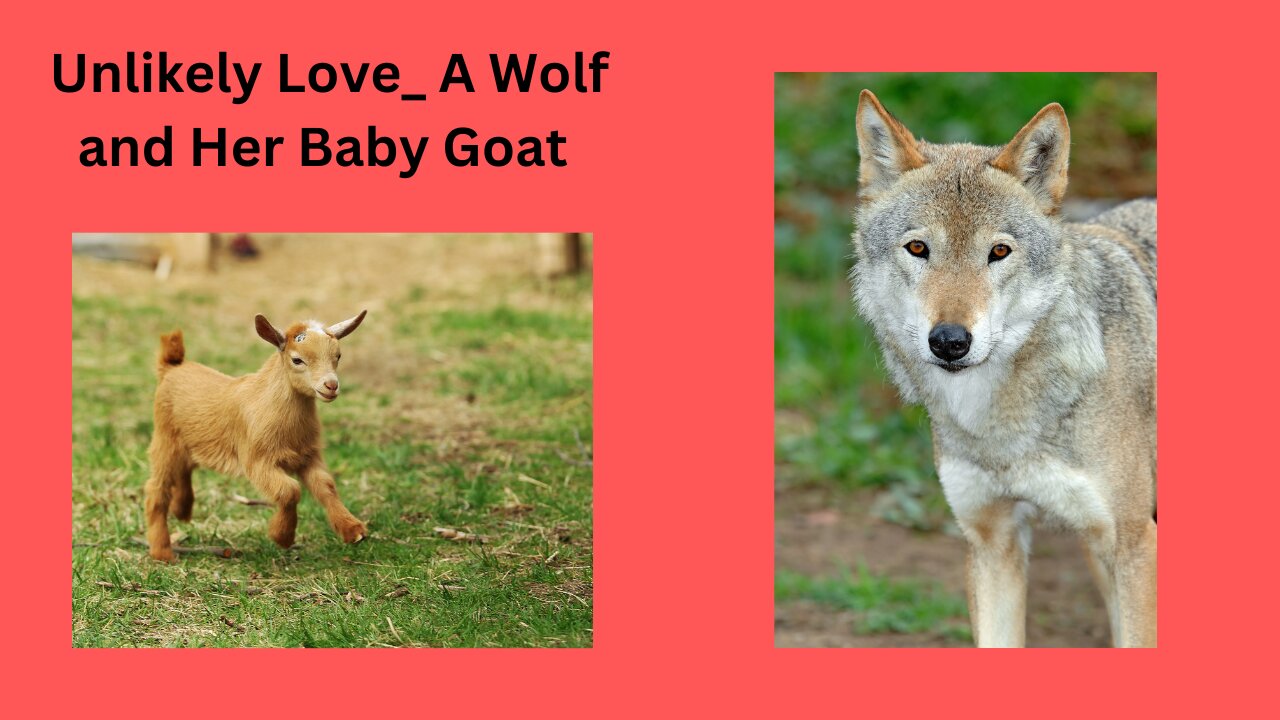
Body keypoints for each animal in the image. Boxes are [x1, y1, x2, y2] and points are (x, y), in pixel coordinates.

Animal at [144, 311, 369, 562]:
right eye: (297, 360)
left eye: (338, 355)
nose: (331, 385)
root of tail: (171, 367)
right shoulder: (257, 460)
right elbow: (289, 490)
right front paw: (282, 536)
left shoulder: (308, 456)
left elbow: (326, 486)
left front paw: (353, 530)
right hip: (164, 440)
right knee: (156, 490)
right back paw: (162, 552)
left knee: (184, 469)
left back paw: (181, 510)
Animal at [850, 90, 1156, 647]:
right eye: (918, 248)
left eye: (998, 251)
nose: (950, 341)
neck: (1000, 429)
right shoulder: (992, 543)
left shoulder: (1134, 544)